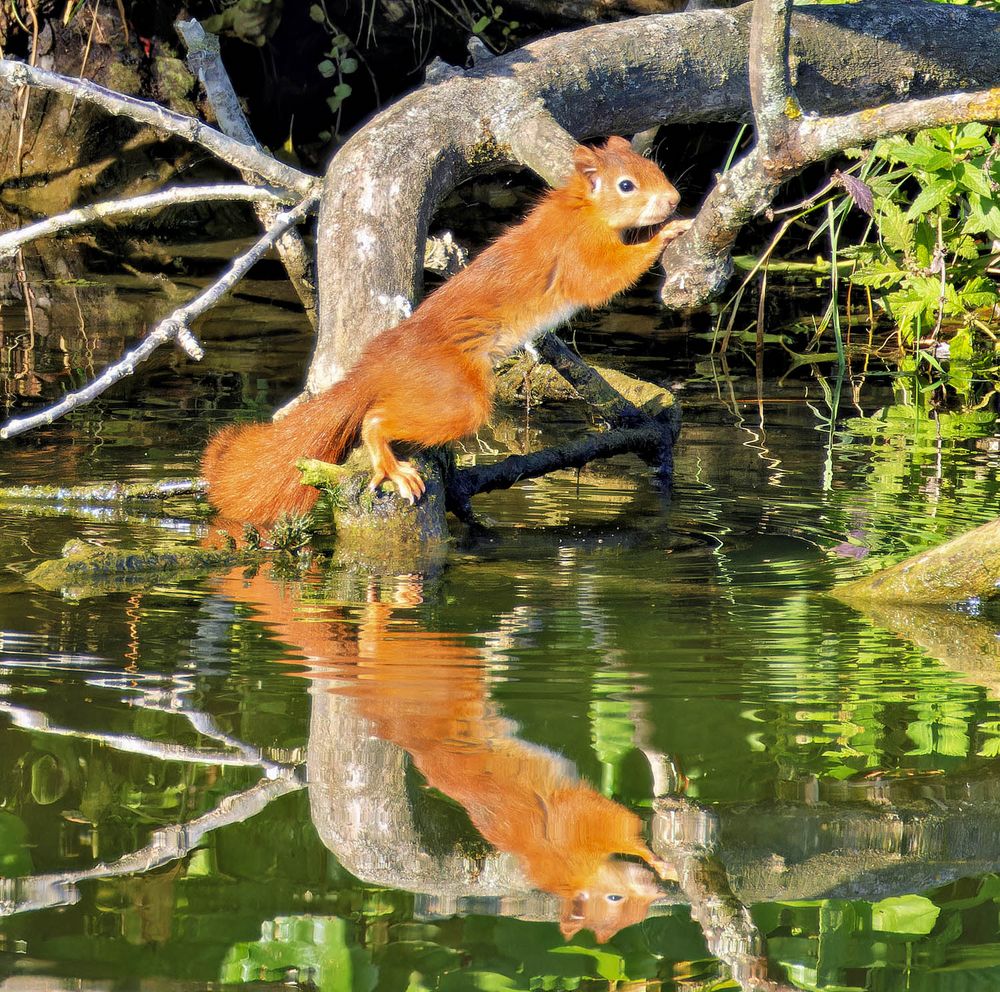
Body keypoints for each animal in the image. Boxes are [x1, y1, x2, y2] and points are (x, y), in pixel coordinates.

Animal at [202, 136, 690, 525]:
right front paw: (667, 233)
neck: (579, 210)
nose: (673, 199)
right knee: (376, 420)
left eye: (654, 168)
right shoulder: (576, 254)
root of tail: (378, 365)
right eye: (626, 185)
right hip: (455, 396)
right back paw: (391, 461)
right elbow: (606, 279)